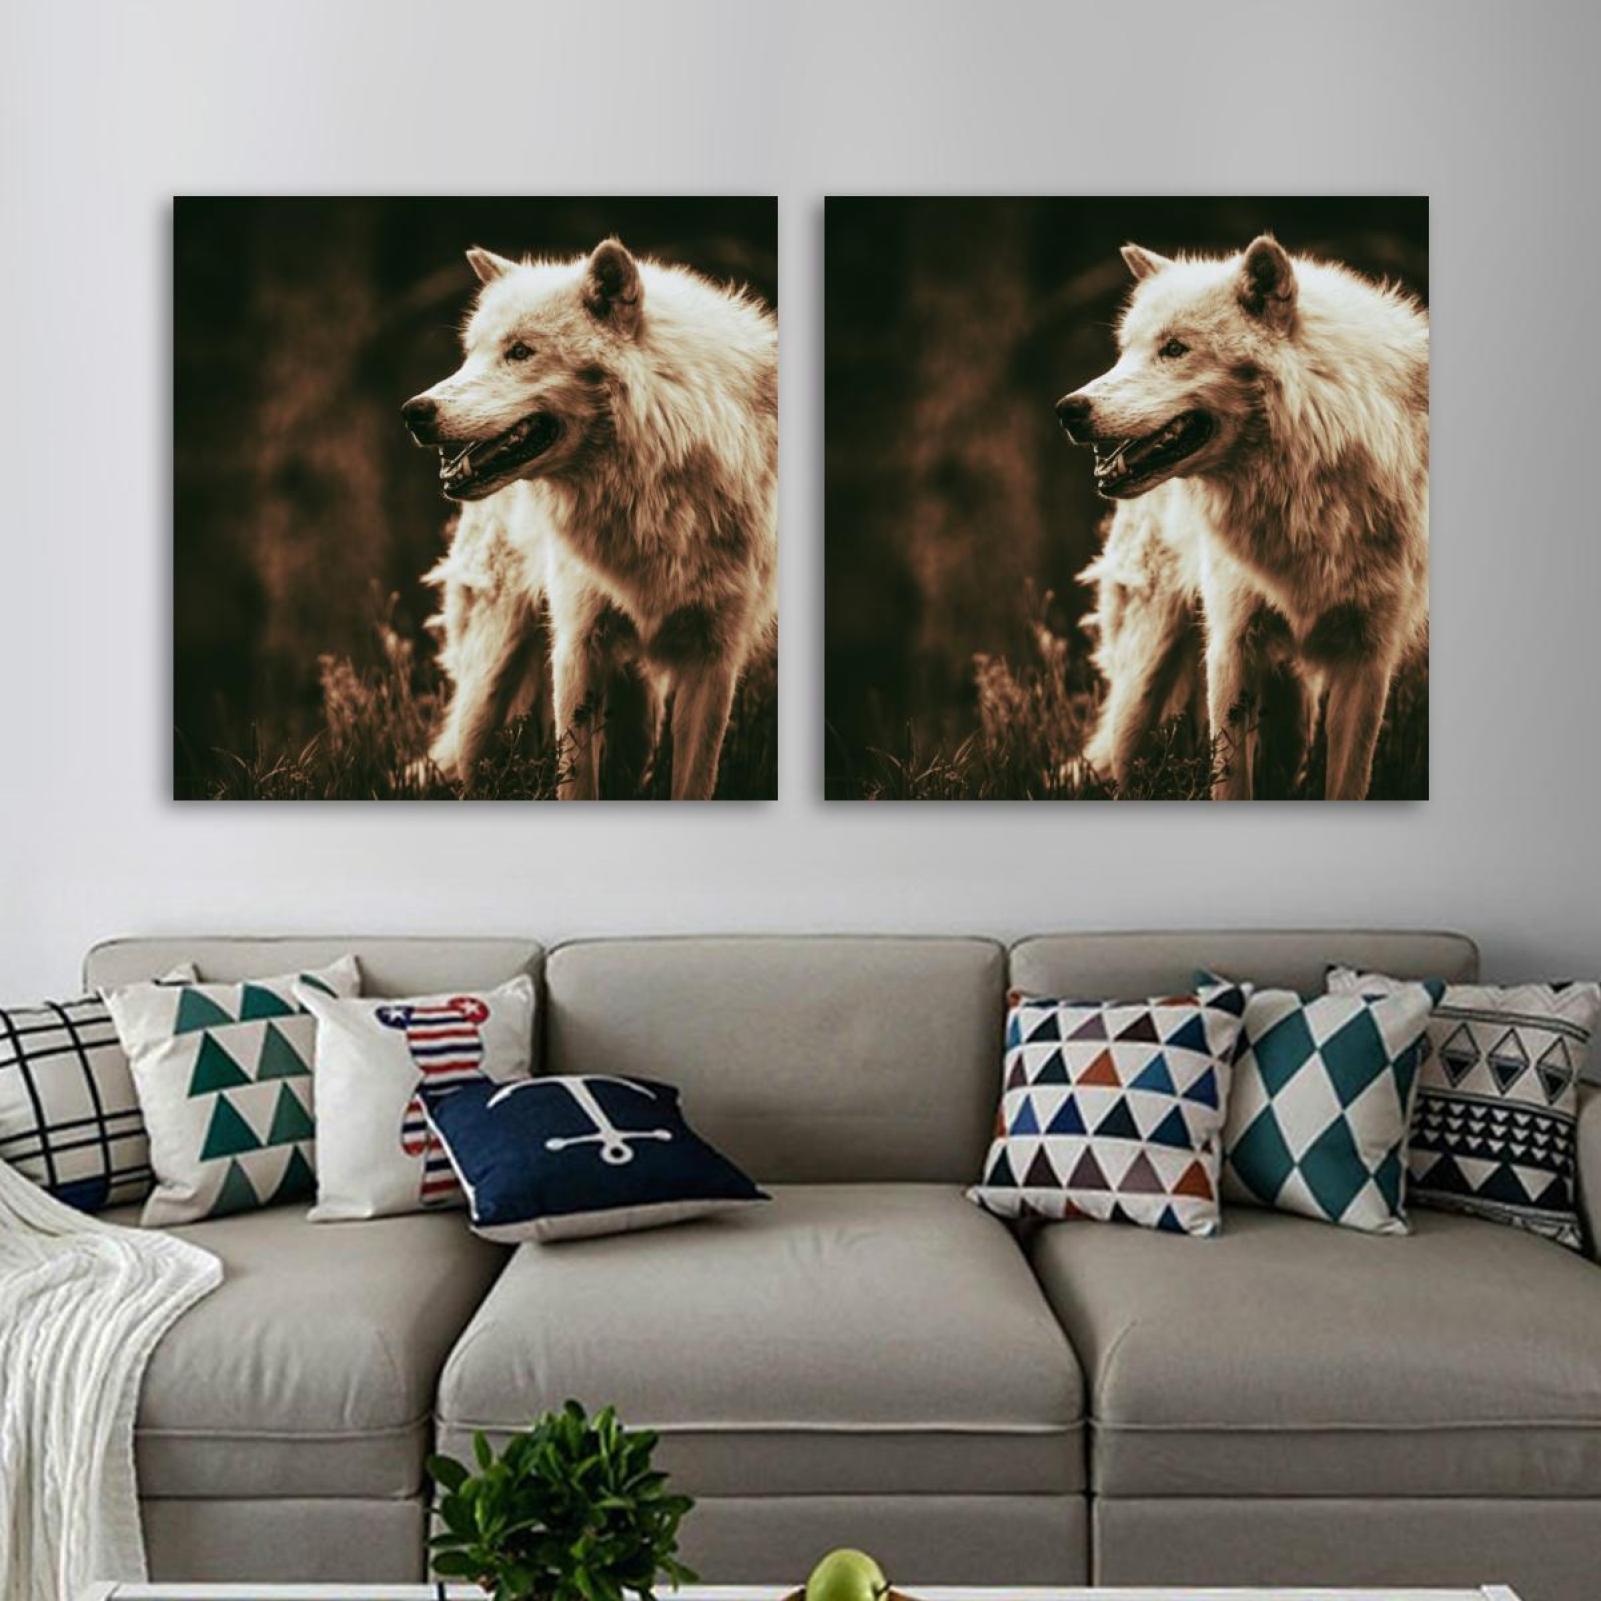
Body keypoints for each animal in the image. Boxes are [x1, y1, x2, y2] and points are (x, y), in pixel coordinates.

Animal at [402, 238, 777, 800]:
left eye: (520, 352)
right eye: (470, 354)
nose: (414, 412)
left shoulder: (714, 659)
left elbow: (694, 781)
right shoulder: (577, 645)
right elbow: (577, 780)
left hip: (638, 719)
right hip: (489, 683)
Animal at [1055, 234, 1428, 800]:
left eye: (1174, 348)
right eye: (1124, 352)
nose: (1069, 410)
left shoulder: (1368, 660)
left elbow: (1347, 781)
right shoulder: (1231, 645)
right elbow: (1231, 780)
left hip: (1293, 718)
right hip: (1144, 683)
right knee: (1122, 765)